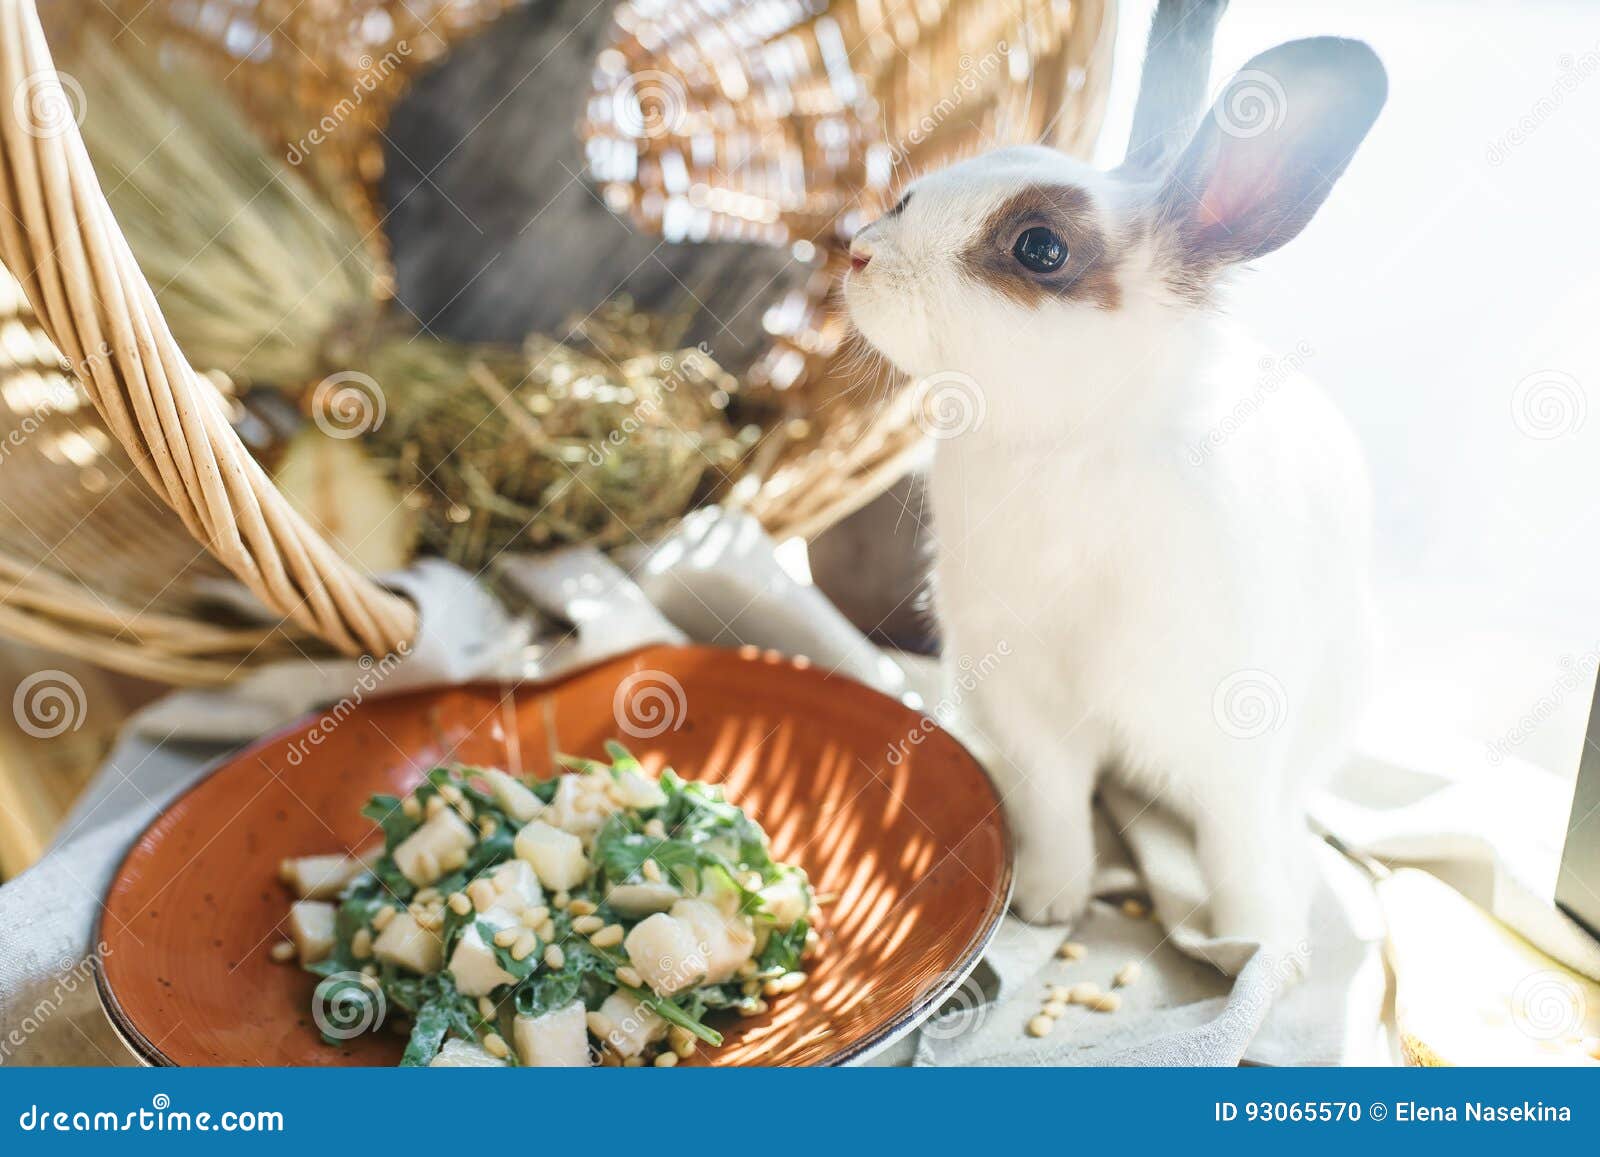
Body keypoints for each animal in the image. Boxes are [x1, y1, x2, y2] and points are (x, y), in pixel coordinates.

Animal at [843, 33, 1386, 953]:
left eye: (1040, 249)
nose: (857, 254)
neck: (1070, 442)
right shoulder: (1028, 703)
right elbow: (1059, 808)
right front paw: (1049, 900)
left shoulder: (1231, 725)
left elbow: (1233, 842)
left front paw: (1255, 939)